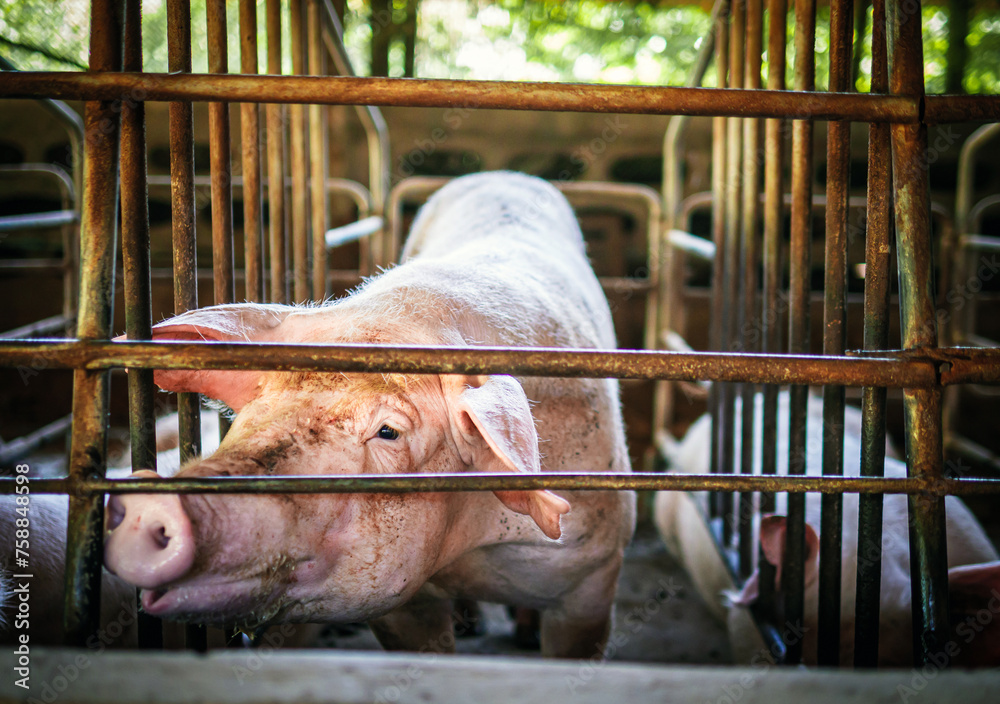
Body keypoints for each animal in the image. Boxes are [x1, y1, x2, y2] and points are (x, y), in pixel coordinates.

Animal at [103, 171, 637, 658]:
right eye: (249, 412)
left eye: (389, 432)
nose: (153, 499)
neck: (467, 547)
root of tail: (502, 174)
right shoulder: (402, 604)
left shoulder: (596, 570)